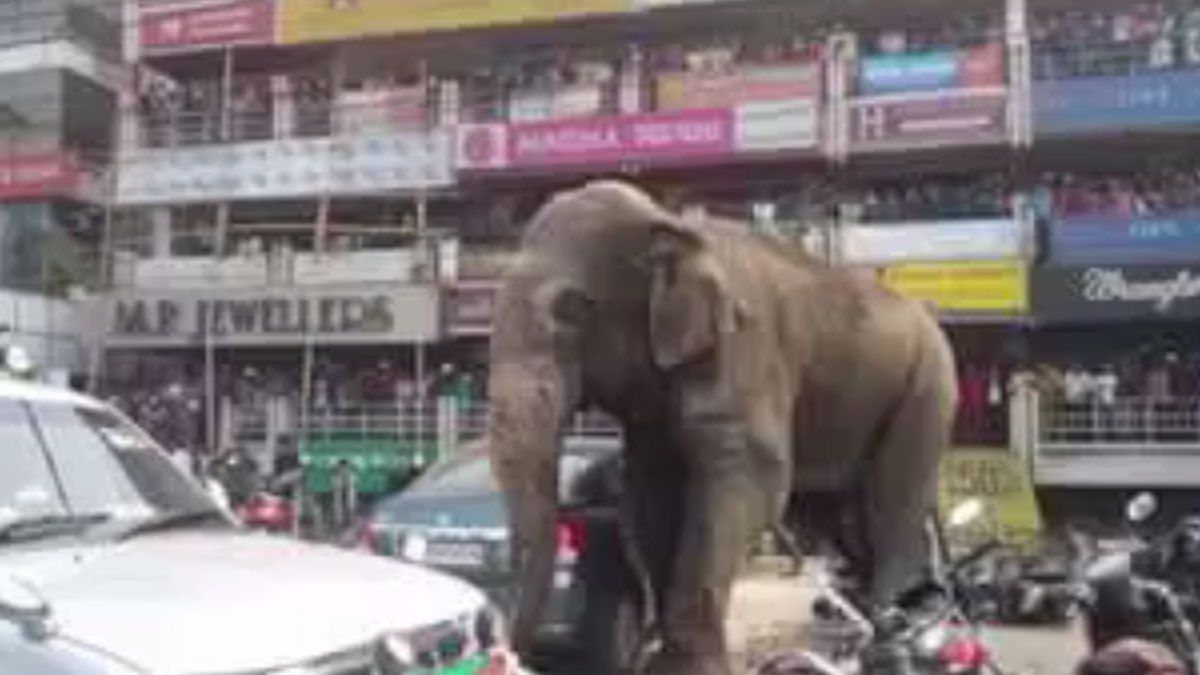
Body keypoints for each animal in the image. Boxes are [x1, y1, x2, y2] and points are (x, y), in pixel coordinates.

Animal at [486, 180, 958, 675]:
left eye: (572, 311)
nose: (505, 655)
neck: (666, 223)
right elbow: (655, 492)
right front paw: (665, 662)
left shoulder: (744, 348)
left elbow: (751, 479)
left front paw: (690, 667)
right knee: (839, 519)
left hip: (928, 386)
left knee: (892, 504)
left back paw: (893, 631)